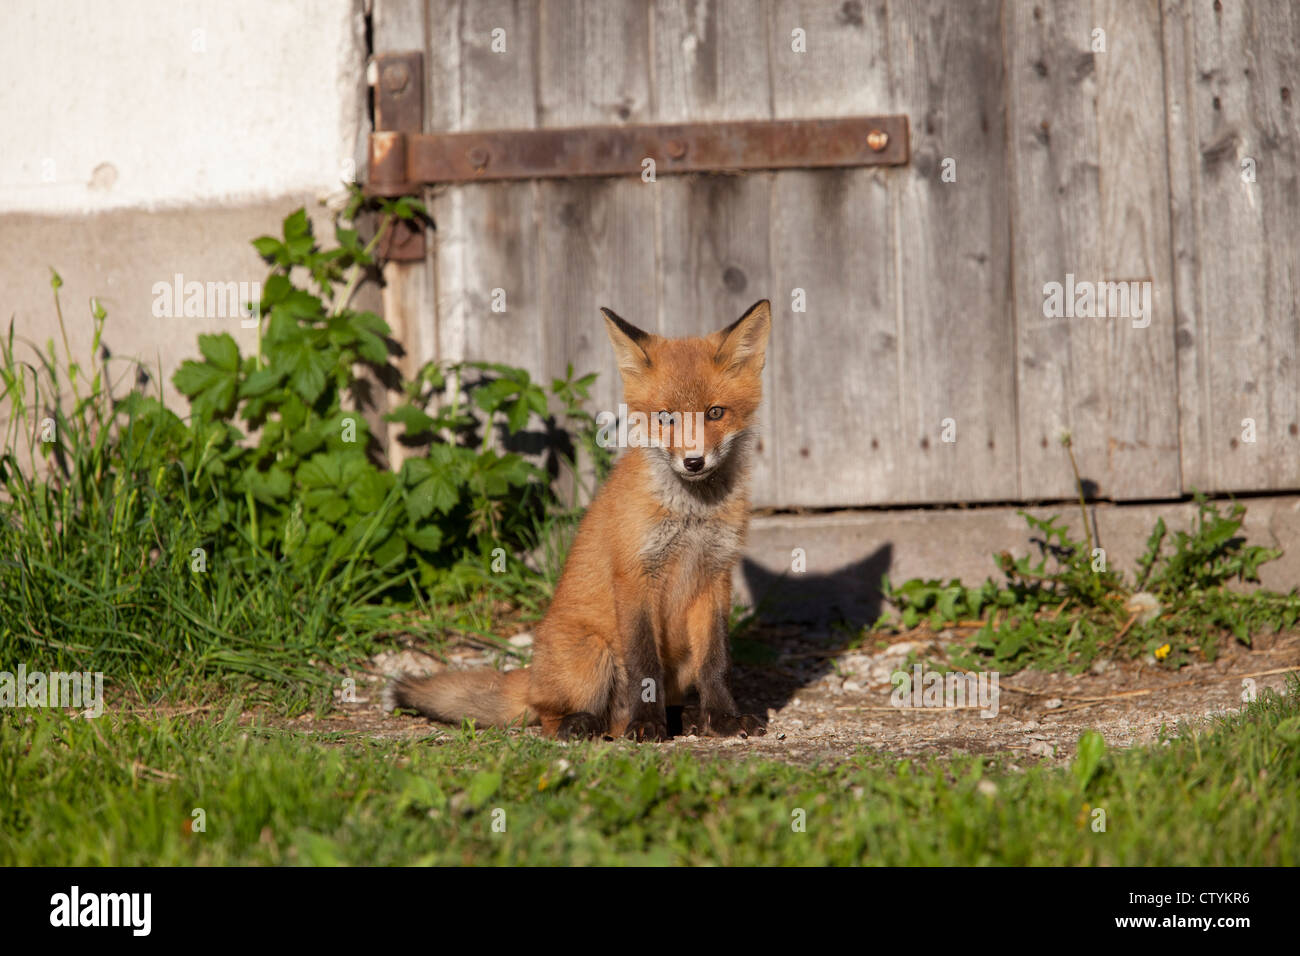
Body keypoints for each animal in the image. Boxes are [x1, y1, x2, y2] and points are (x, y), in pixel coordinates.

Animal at [385, 299, 772, 741]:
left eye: (715, 413)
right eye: (666, 418)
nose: (693, 462)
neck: (692, 513)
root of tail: (532, 674)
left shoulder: (715, 576)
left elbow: (718, 663)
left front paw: (723, 717)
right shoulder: (635, 576)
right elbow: (645, 667)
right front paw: (648, 725)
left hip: (677, 654)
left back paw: (684, 717)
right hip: (593, 654)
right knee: (554, 716)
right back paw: (587, 723)